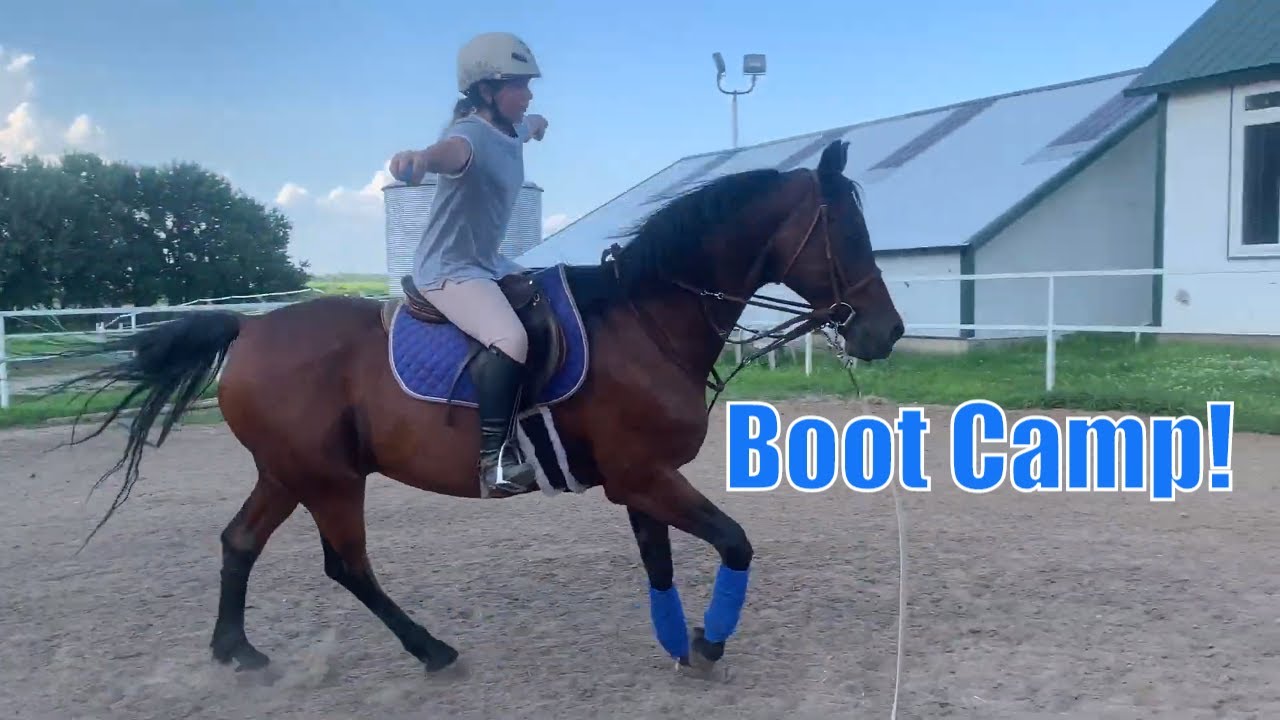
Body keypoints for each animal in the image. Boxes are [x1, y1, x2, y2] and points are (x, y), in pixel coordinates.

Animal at [64, 139, 905, 677]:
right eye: (847, 231)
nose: (886, 331)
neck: (648, 319)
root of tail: (250, 326)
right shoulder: (646, 476)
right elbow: (734, 544)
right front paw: (709, 645)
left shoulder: (641, 480)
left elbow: (661, 562)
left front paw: (679, 646)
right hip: (329, 480)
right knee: (347, 565)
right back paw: (430, 651)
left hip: (289, 472)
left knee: (240, 541)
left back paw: (236, 649)